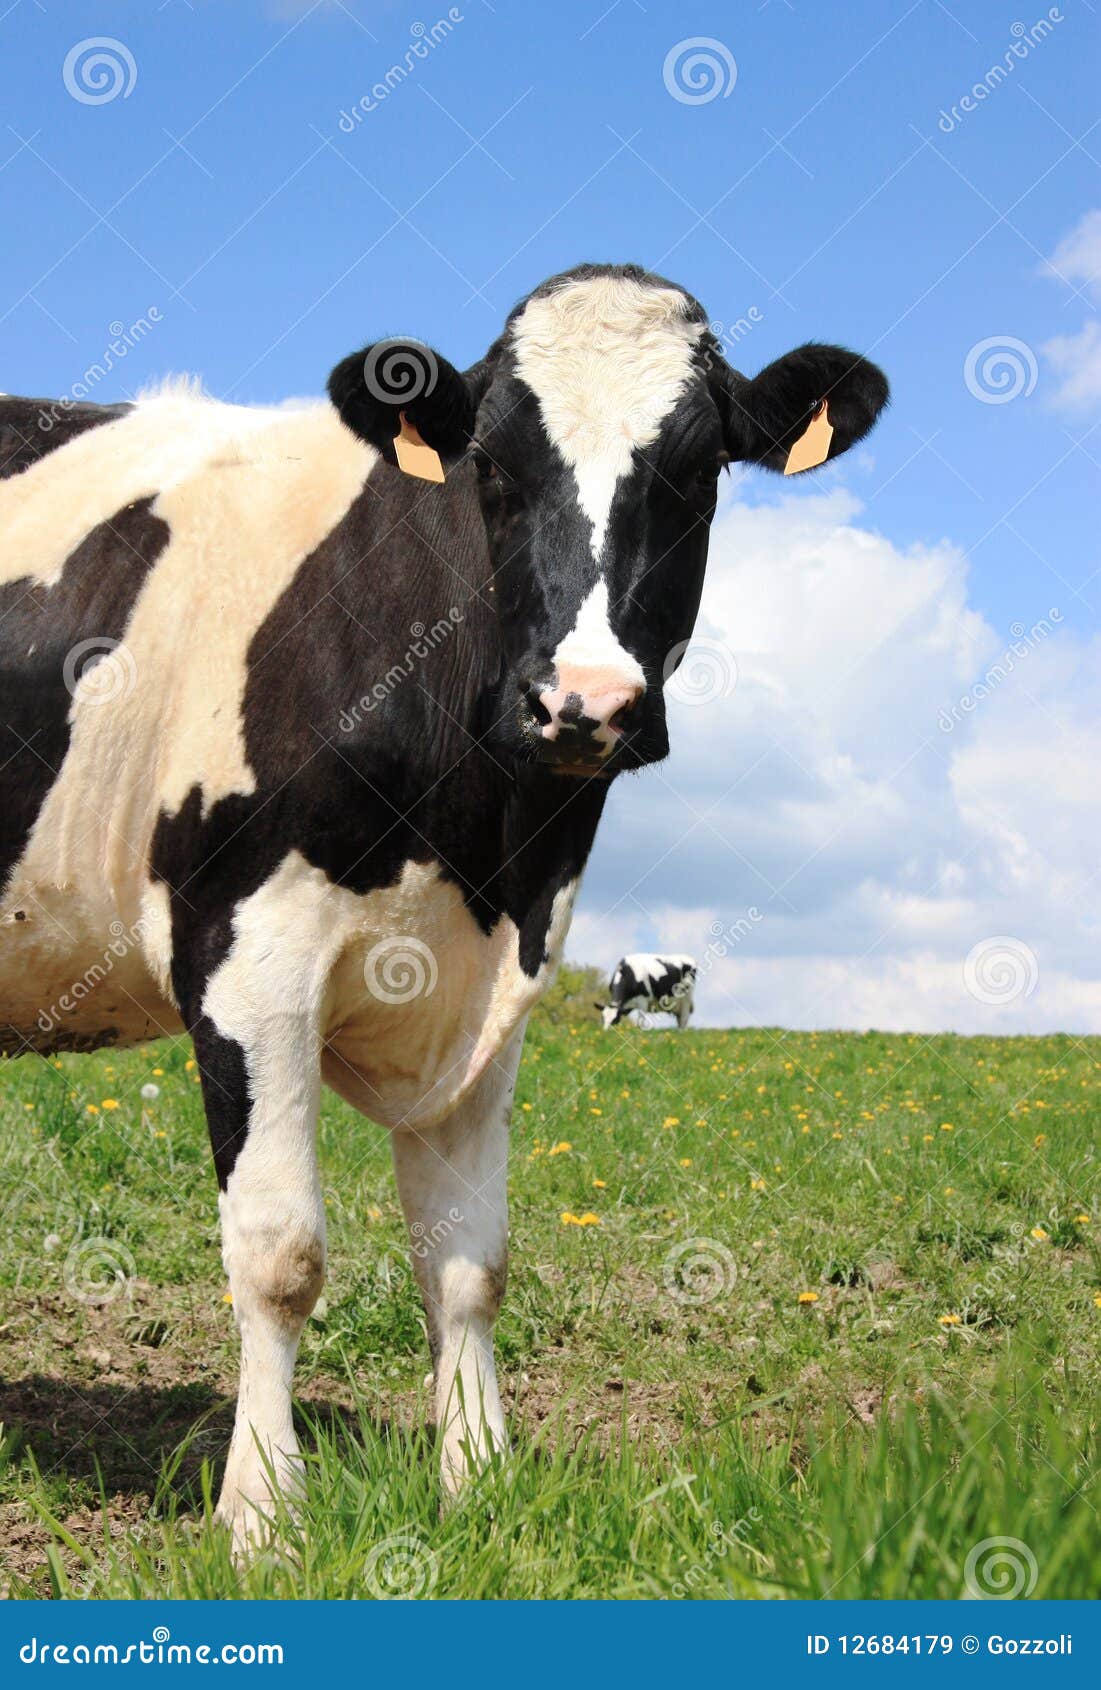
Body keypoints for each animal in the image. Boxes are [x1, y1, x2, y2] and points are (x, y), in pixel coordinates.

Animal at [0, 263, 888, 1550]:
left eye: (698, 471)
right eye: (496, 469)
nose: (583, 702)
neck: (489, 845)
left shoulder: (489, 988)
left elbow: (469, 1261)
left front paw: (479, 1477)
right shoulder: (244, 953)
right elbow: (280, 1253)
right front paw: (263, 1512)